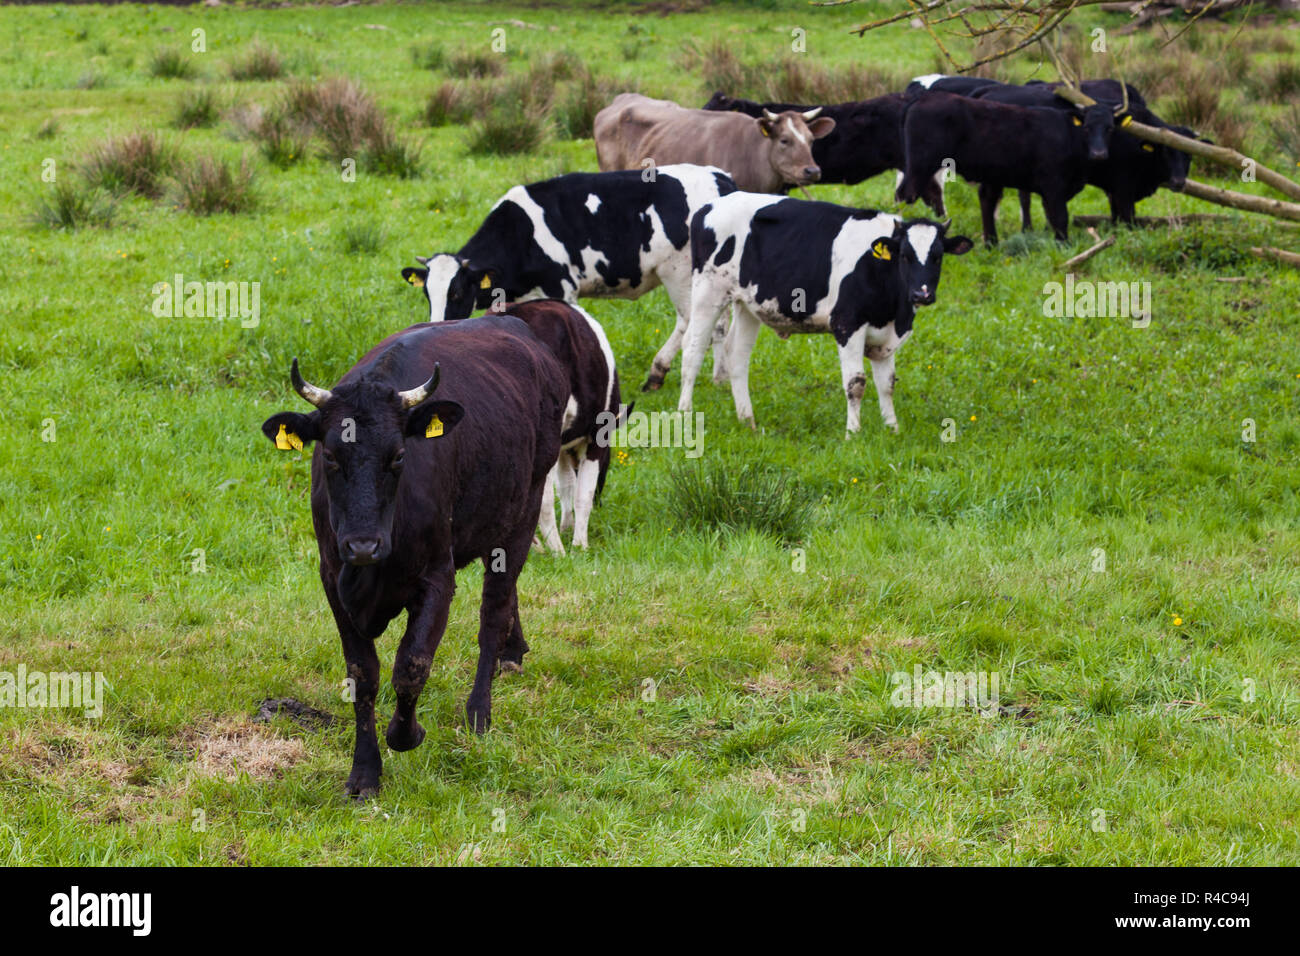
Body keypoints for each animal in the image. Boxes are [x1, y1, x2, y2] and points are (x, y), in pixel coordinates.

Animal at [260, 316, 567, 797]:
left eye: (400, 456)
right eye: (329, 455)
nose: (362, 545)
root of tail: (513, 323)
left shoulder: (438, 577)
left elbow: (411, 665)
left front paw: (407, 734)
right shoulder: (332, 575)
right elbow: (363, 673)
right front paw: (365, 771)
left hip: (524, 511)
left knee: (494, 611)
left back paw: (479, 711)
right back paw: (514, 650)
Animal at [399, 164, 736, 393]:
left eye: (457, 293)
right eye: (427, 294)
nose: (436, 326)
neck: (520, 234)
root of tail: (721, 177)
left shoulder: (562, 287)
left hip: (678, 271)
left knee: (689, 320)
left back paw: (657, 373)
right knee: (718, 321)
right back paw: (720, 377)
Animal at [484, 300, 622, 555]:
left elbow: (567, 485)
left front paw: (568, 530)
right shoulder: (597, 435)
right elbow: (582, 493)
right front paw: (579, 545)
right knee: (543, 501)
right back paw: (557, 550)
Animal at [678, 192, 973, 435]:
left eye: (937, 256)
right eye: (905, 256)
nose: (922, 294)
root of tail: (709, 206)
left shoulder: (887, 336)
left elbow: (887, 383)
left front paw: (892, 429)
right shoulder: (847, 324)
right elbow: (856, 383)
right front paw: (853, 433)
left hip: (747, 303)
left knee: (737, 355)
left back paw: (747, 420)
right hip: (708, 292)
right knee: (692, 348)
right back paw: (685, 413)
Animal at [897, 90, 1097, 243]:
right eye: (1087, 128)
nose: (1098, 152)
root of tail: (924, 97)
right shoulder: (1053, 186)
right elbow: (1060, 217)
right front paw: (1063, 245)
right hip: (921, 164)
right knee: (906, 194)